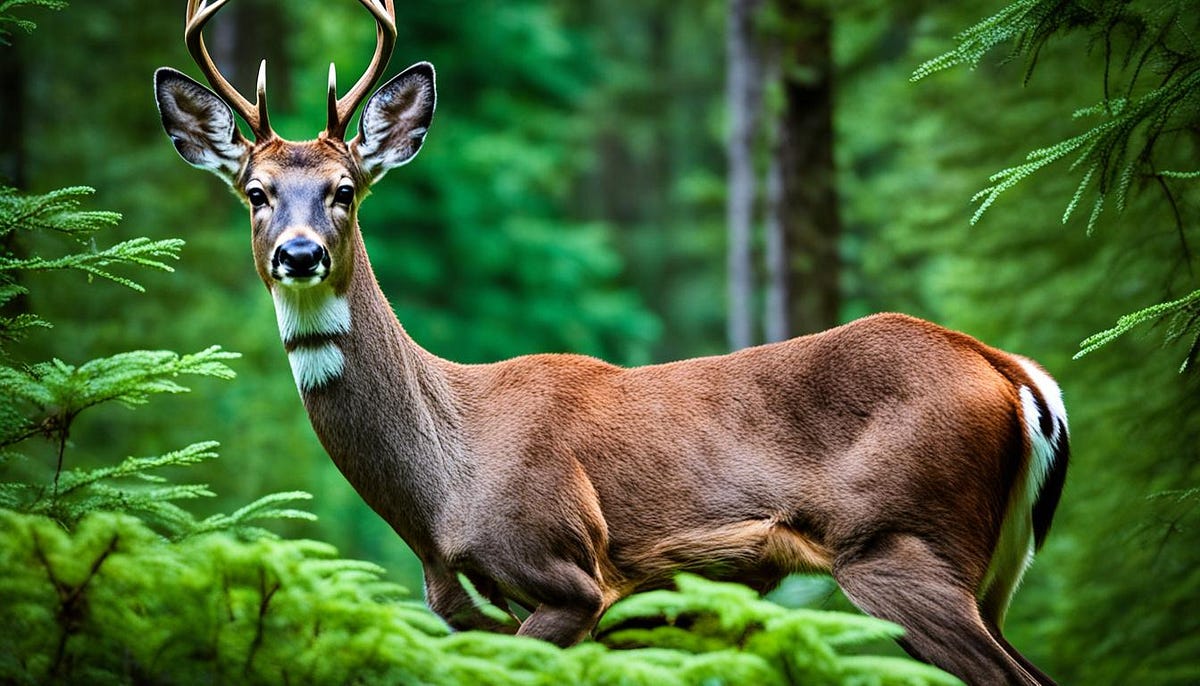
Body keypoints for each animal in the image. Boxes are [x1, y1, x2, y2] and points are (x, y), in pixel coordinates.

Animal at [153, 1, 1069, 683]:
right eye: (255, 192)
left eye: (344, 189)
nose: (299, 253)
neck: (442, 485)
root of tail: (1015, 374)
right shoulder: (480, 608)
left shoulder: (569, 574)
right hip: (991, 571)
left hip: (901, 544)